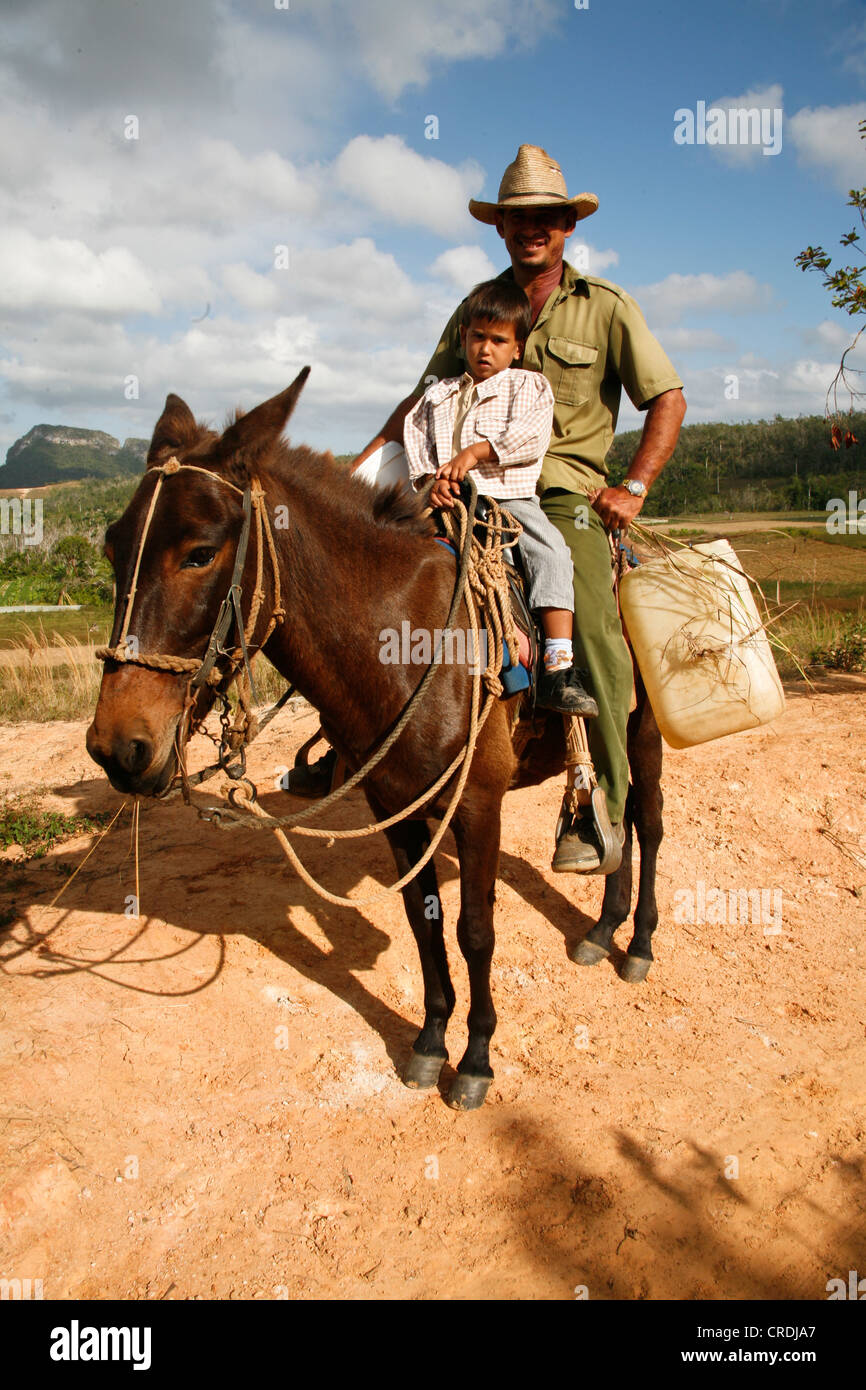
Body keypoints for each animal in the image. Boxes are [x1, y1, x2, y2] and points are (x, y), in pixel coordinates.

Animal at [86, 370, 664, 1110]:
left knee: (645, 821)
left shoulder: (479, 804)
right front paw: (430, 1043)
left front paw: (476, 1059)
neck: (405, 640)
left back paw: (638, 942)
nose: (117, 746)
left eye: (200, 552)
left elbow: (477, 932)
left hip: (641, 731)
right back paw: (601, 929)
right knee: (617, 822)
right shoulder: (393, 807)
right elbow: (424, 922)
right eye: (112, 550)